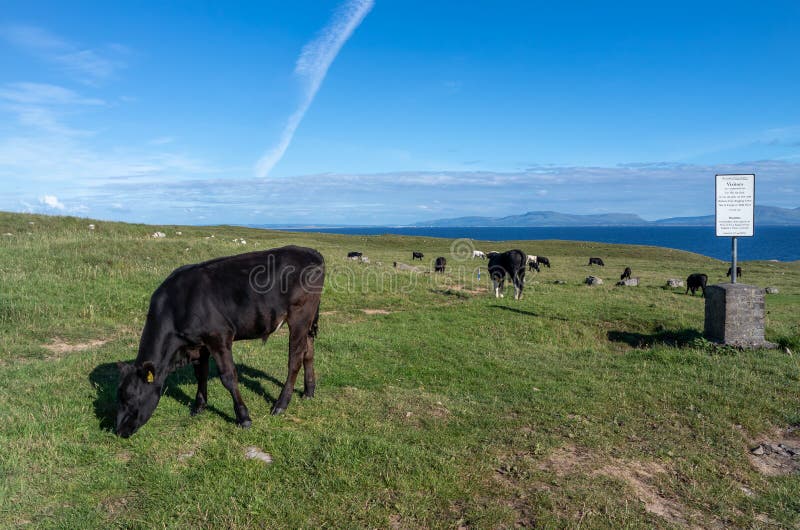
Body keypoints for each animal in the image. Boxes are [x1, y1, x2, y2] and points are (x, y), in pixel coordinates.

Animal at [115, 246, 325, 438]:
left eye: (130, 399)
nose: (118, 431)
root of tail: (310, 251)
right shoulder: (199, 343)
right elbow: (201, 374)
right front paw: (199, 407)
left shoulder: (219, 337)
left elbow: (228, 377)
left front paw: (243, 417)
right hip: (307, 319)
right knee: (308, 352)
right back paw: (309, 392)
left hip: (299, 315)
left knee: (295, 359)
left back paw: (281, 405)